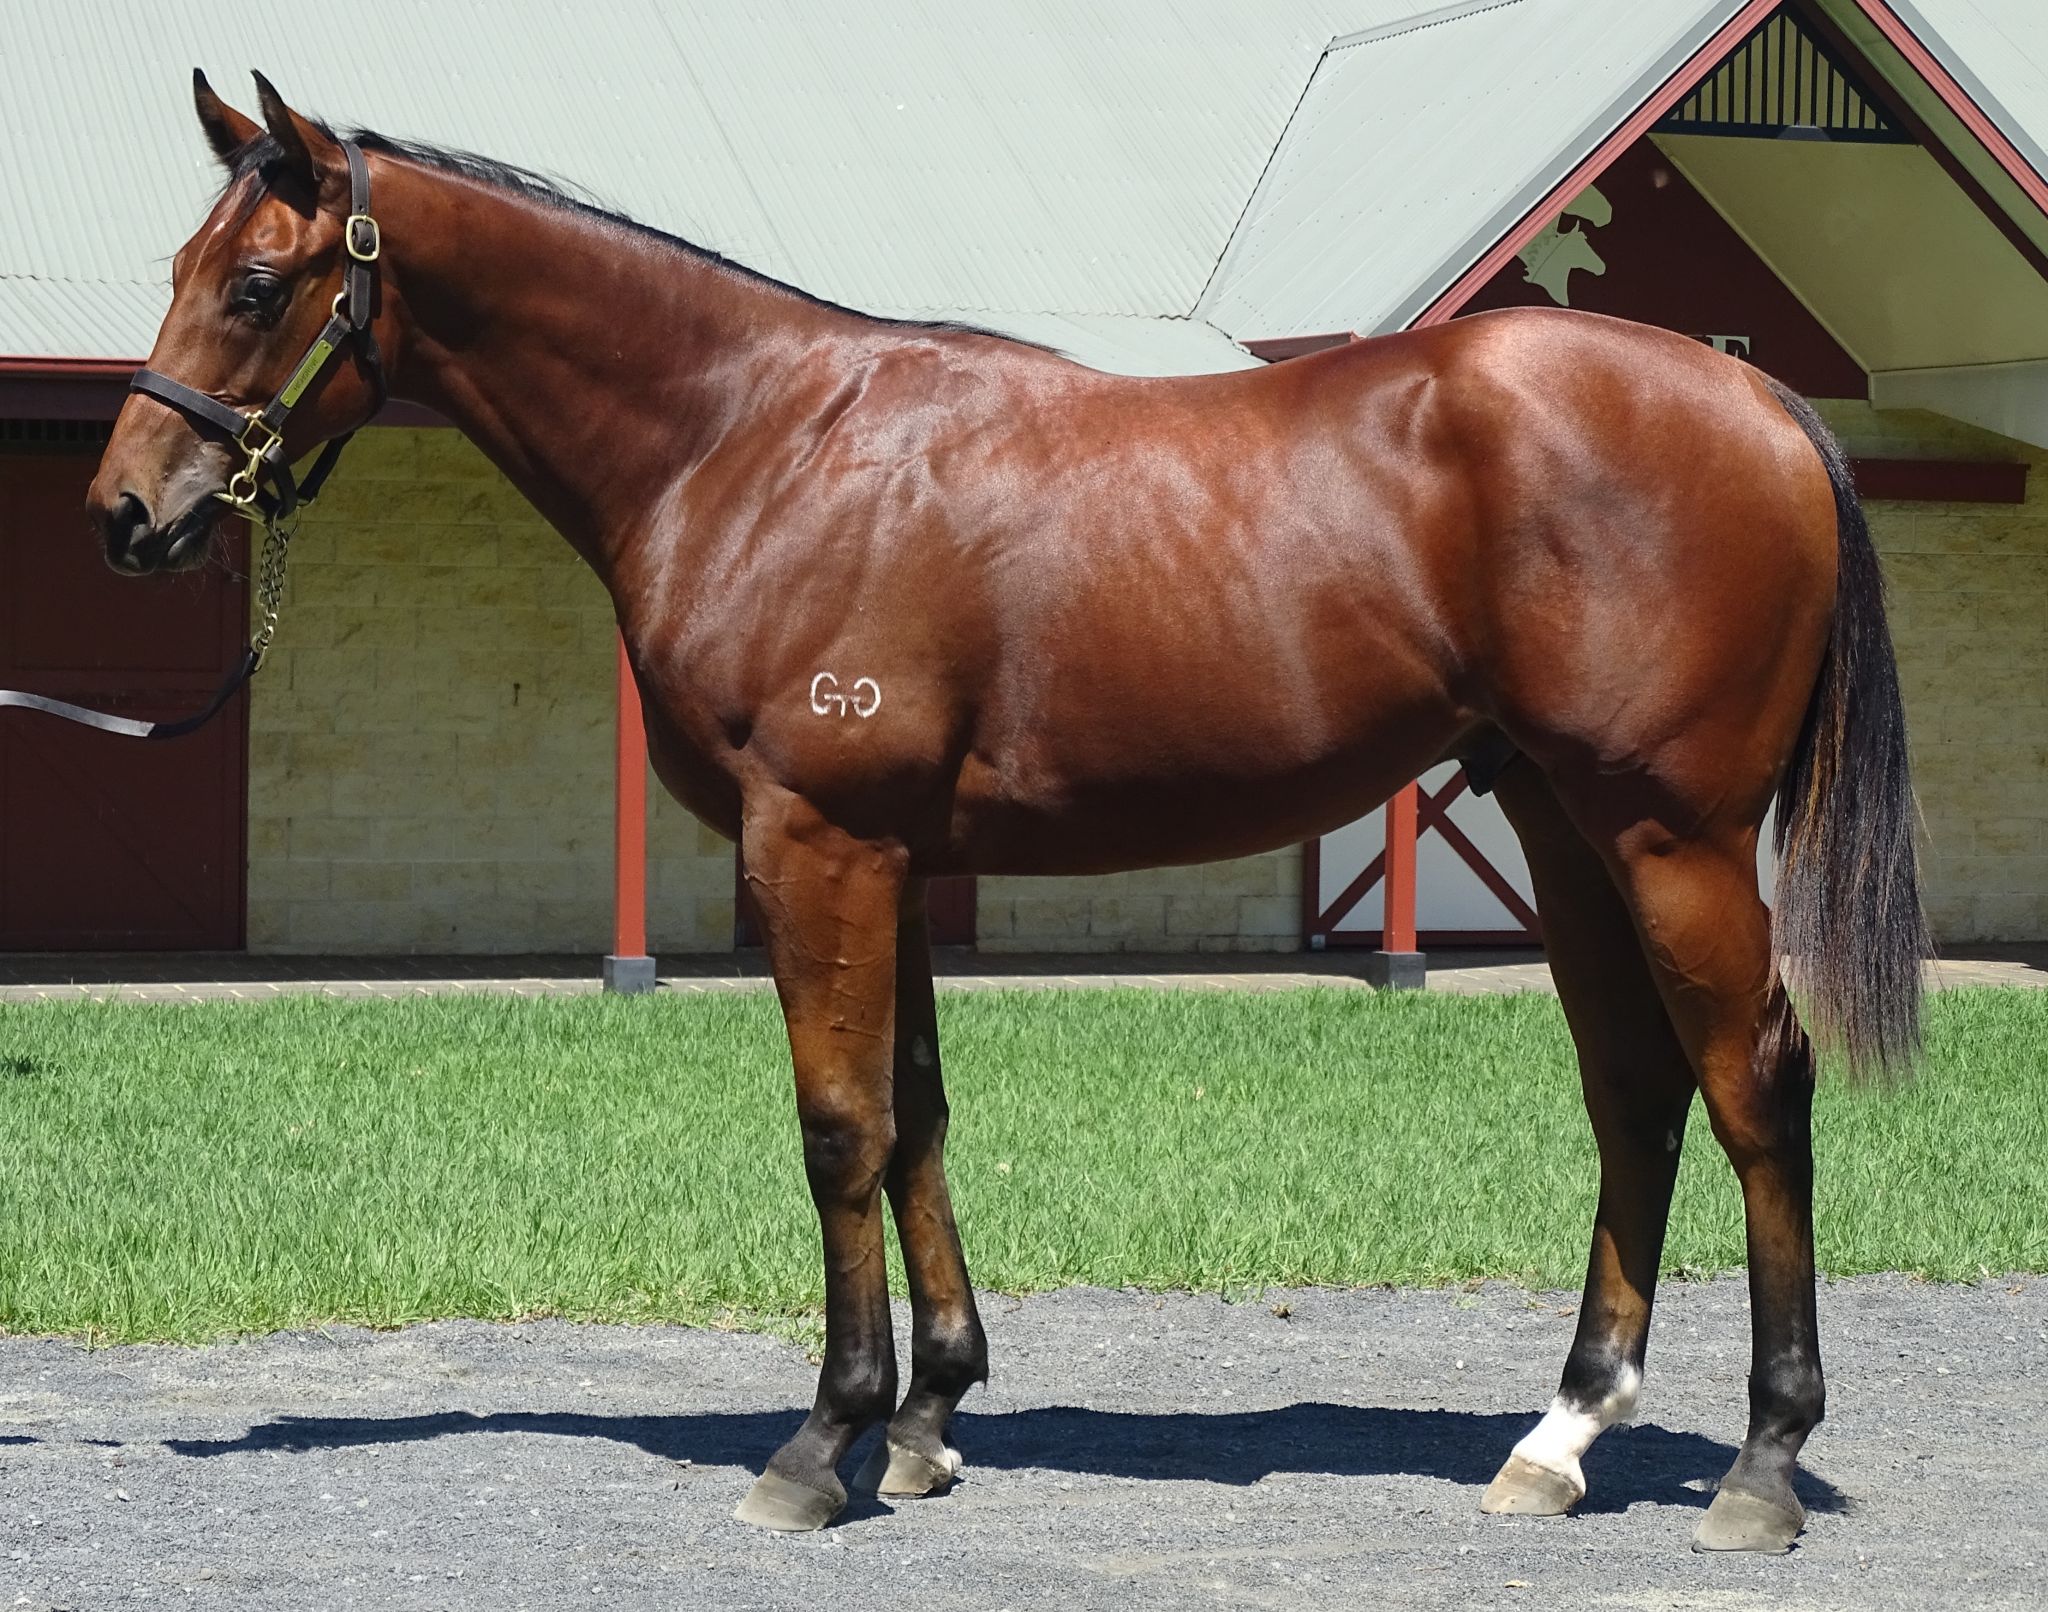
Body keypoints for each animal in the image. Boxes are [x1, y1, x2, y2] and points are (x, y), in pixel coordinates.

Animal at [87, 72, 1927, 1553]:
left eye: (256, 285)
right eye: (177, 273)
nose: (124, 513)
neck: (755, 441)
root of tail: (1757, 401)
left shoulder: (816, 841)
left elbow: (838, 1127)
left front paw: (819, 1441)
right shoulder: (895, 857)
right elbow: (915, 1112)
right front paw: (922, 1422)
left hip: (1671, 837)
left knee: (1752, 1085)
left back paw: (1762, 1465)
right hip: (1561, 825)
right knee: (1634, 1091)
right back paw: (1559, 1437)